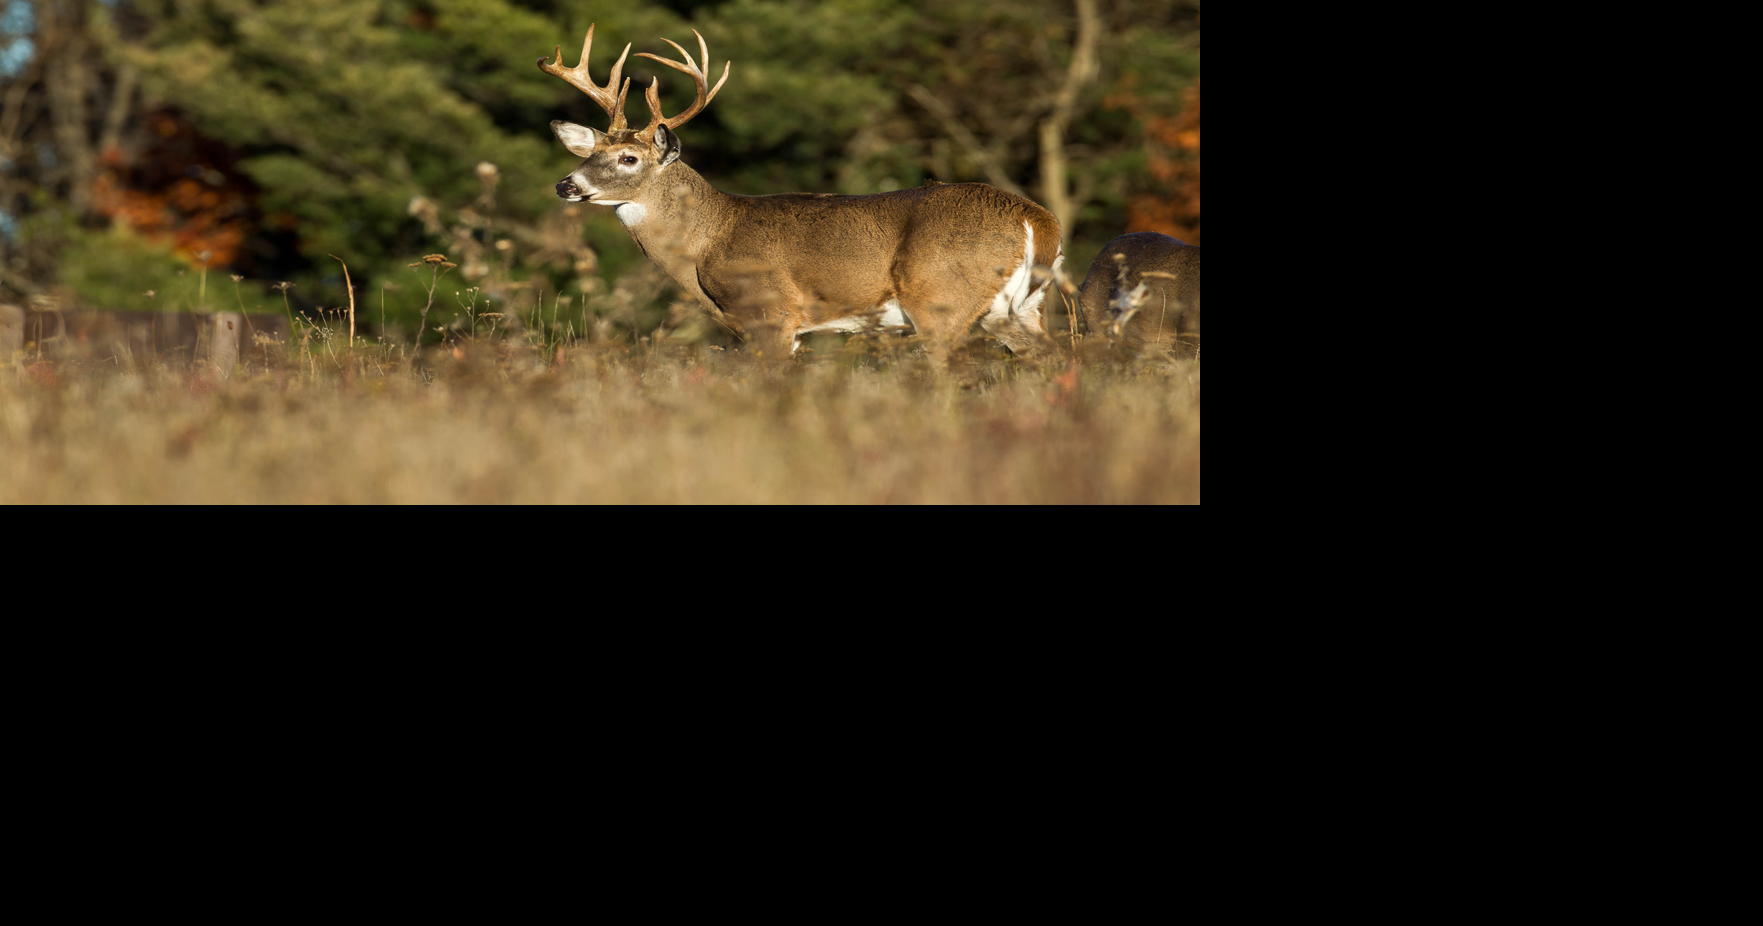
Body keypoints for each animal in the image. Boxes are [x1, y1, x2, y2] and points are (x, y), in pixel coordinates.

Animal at [538, 26, 1062, 363]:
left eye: (629, 158)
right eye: (590, 153)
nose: (566, 185)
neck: (709, 238)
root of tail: (1037, 219)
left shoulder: (769, 312)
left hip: (941, 297)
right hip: (1017, 310)